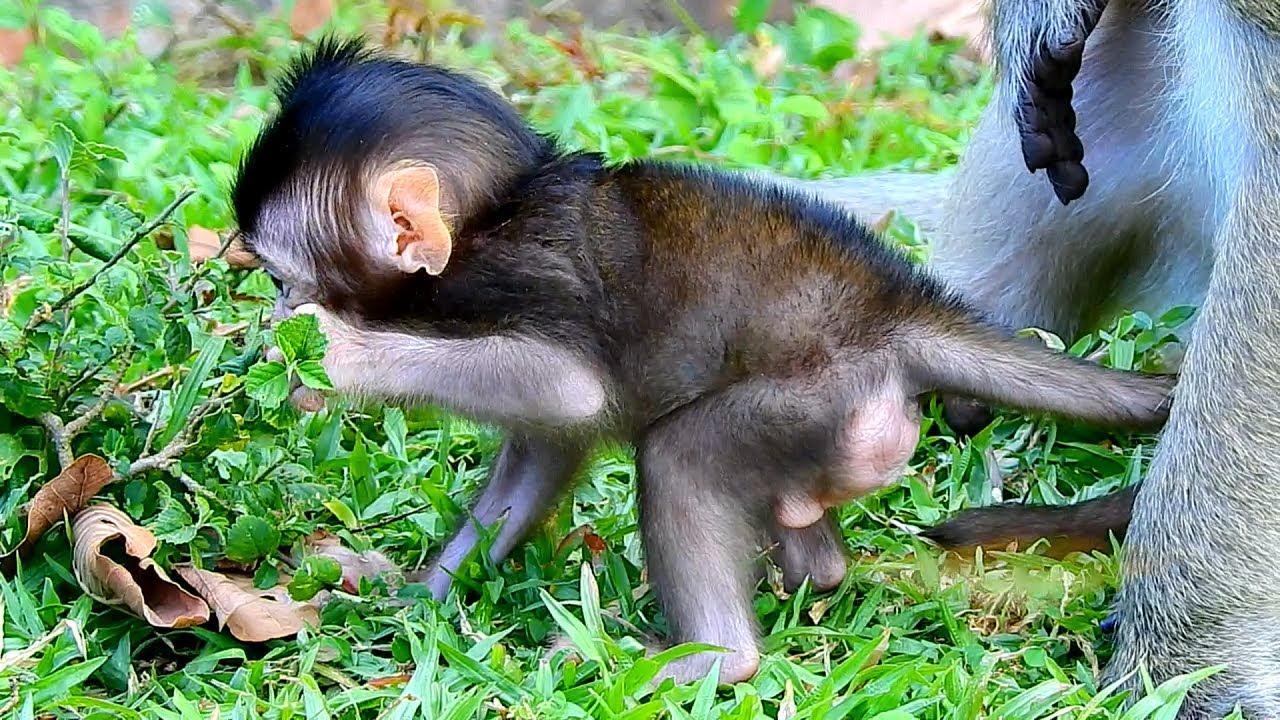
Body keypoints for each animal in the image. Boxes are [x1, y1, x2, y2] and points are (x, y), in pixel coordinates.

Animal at [231, 38, 1175, 687]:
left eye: (279, 276)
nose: (270, 308)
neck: (494, 213)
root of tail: (896, 311)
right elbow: (546, 445)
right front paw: (422, 598)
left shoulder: (505, 277)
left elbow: (565, 389)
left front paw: (341, 357)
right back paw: (813, 578)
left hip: (814, 393)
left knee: (682, 454)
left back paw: (714, 661)